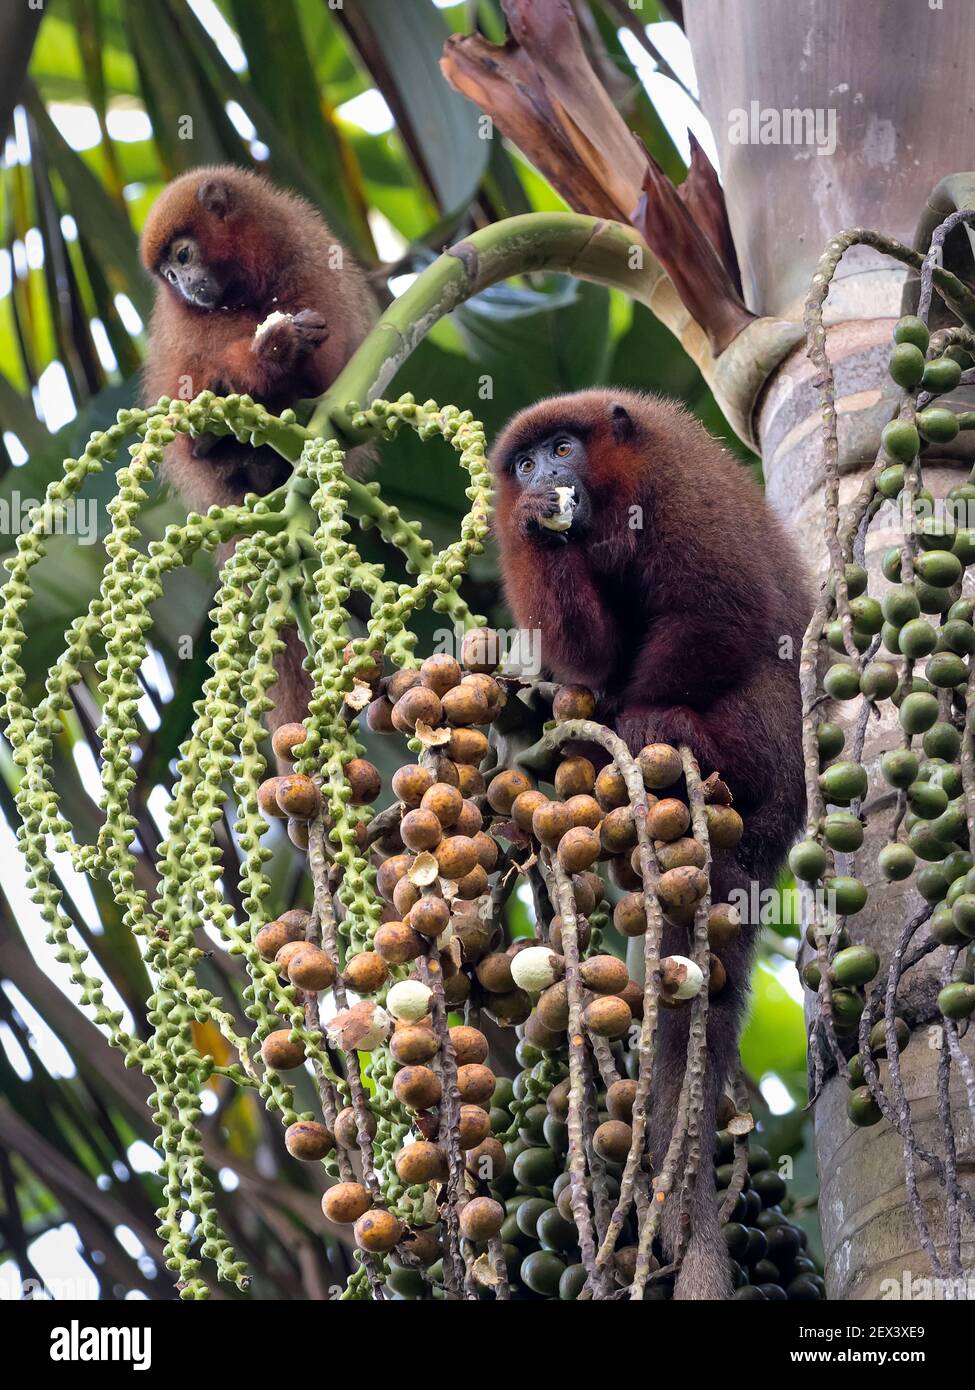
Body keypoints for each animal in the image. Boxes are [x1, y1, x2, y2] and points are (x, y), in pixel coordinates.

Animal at [140, 165, 376, 730]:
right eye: (169, 277)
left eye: (183, 257)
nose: (184, 285)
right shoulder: (187, 322)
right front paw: (272, 351)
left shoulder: (307, 259)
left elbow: (329, 362)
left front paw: (282, 350)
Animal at [490, 388, 812, 1299]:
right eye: (524, 463)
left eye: (564, 446)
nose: (545, 474)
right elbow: (587, 653)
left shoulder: (675, 486)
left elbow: (720, 611)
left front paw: (633, 716)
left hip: (775, 749)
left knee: (752, 665)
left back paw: (673, 735)